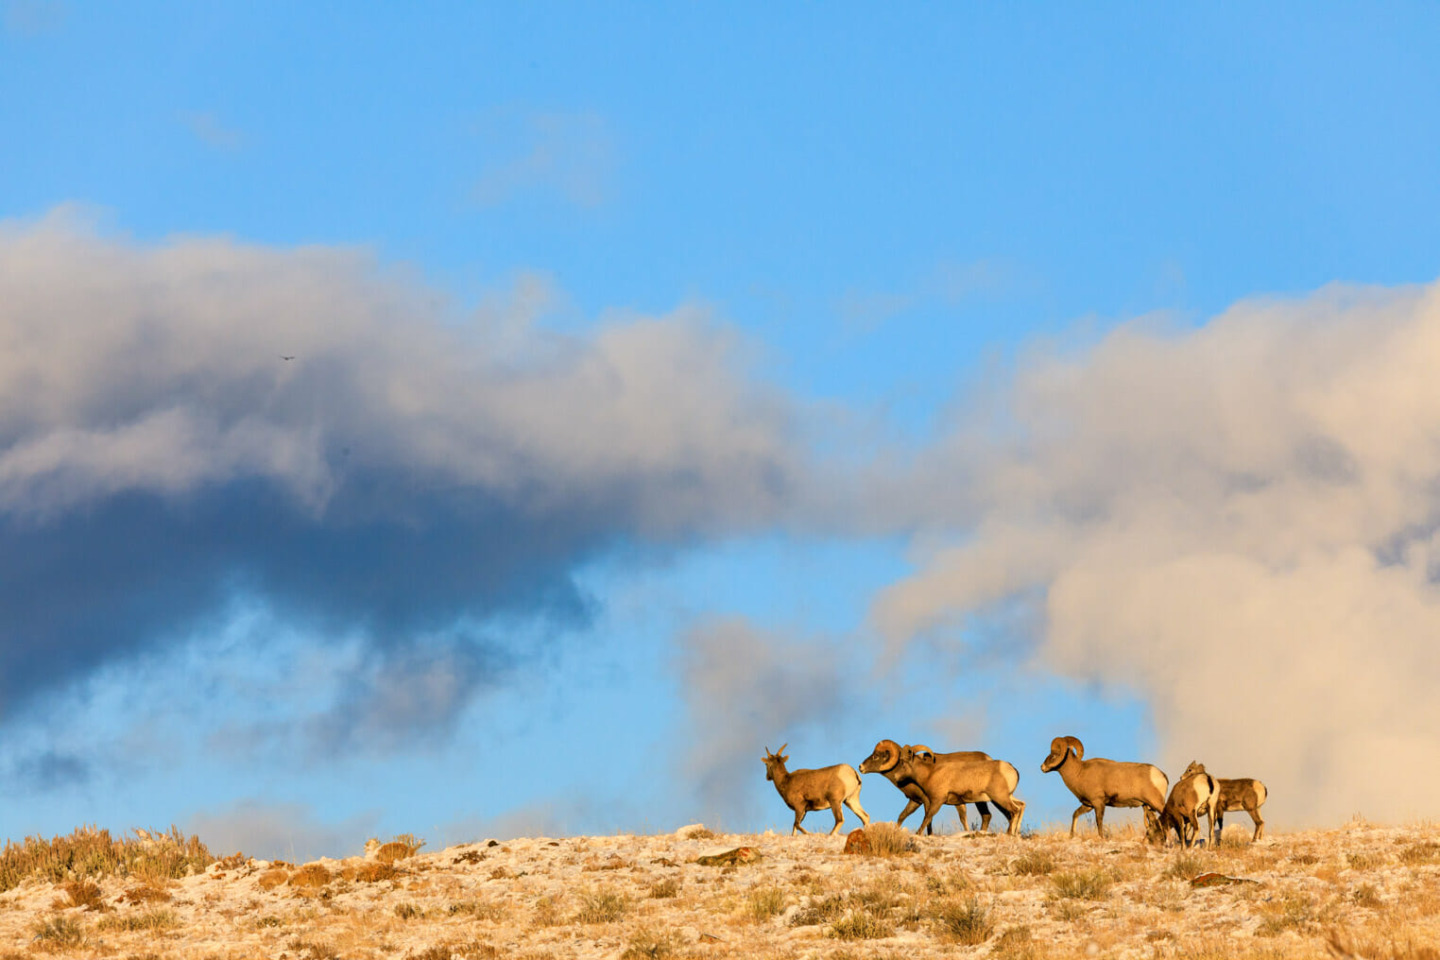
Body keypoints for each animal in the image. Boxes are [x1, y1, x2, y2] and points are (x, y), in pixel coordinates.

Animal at [859, 739, 996, 833]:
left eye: (876, 756)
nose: (860, 767)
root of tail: (988, 759)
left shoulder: (928, 800)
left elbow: (928, 819)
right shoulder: (915, 801)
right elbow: (902, 816)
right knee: (986, 816)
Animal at [887, 745, 1026, 836]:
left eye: (903, 763)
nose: (896, 777)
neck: (930, 774)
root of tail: (1011, 769)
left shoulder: (937, 801)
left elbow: (928, 817)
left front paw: (918, 834)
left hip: (1000, 798)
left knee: (1014, 811)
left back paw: (1010, 833)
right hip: (1007, 797)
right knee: (1021, 805)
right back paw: (1016, 833)